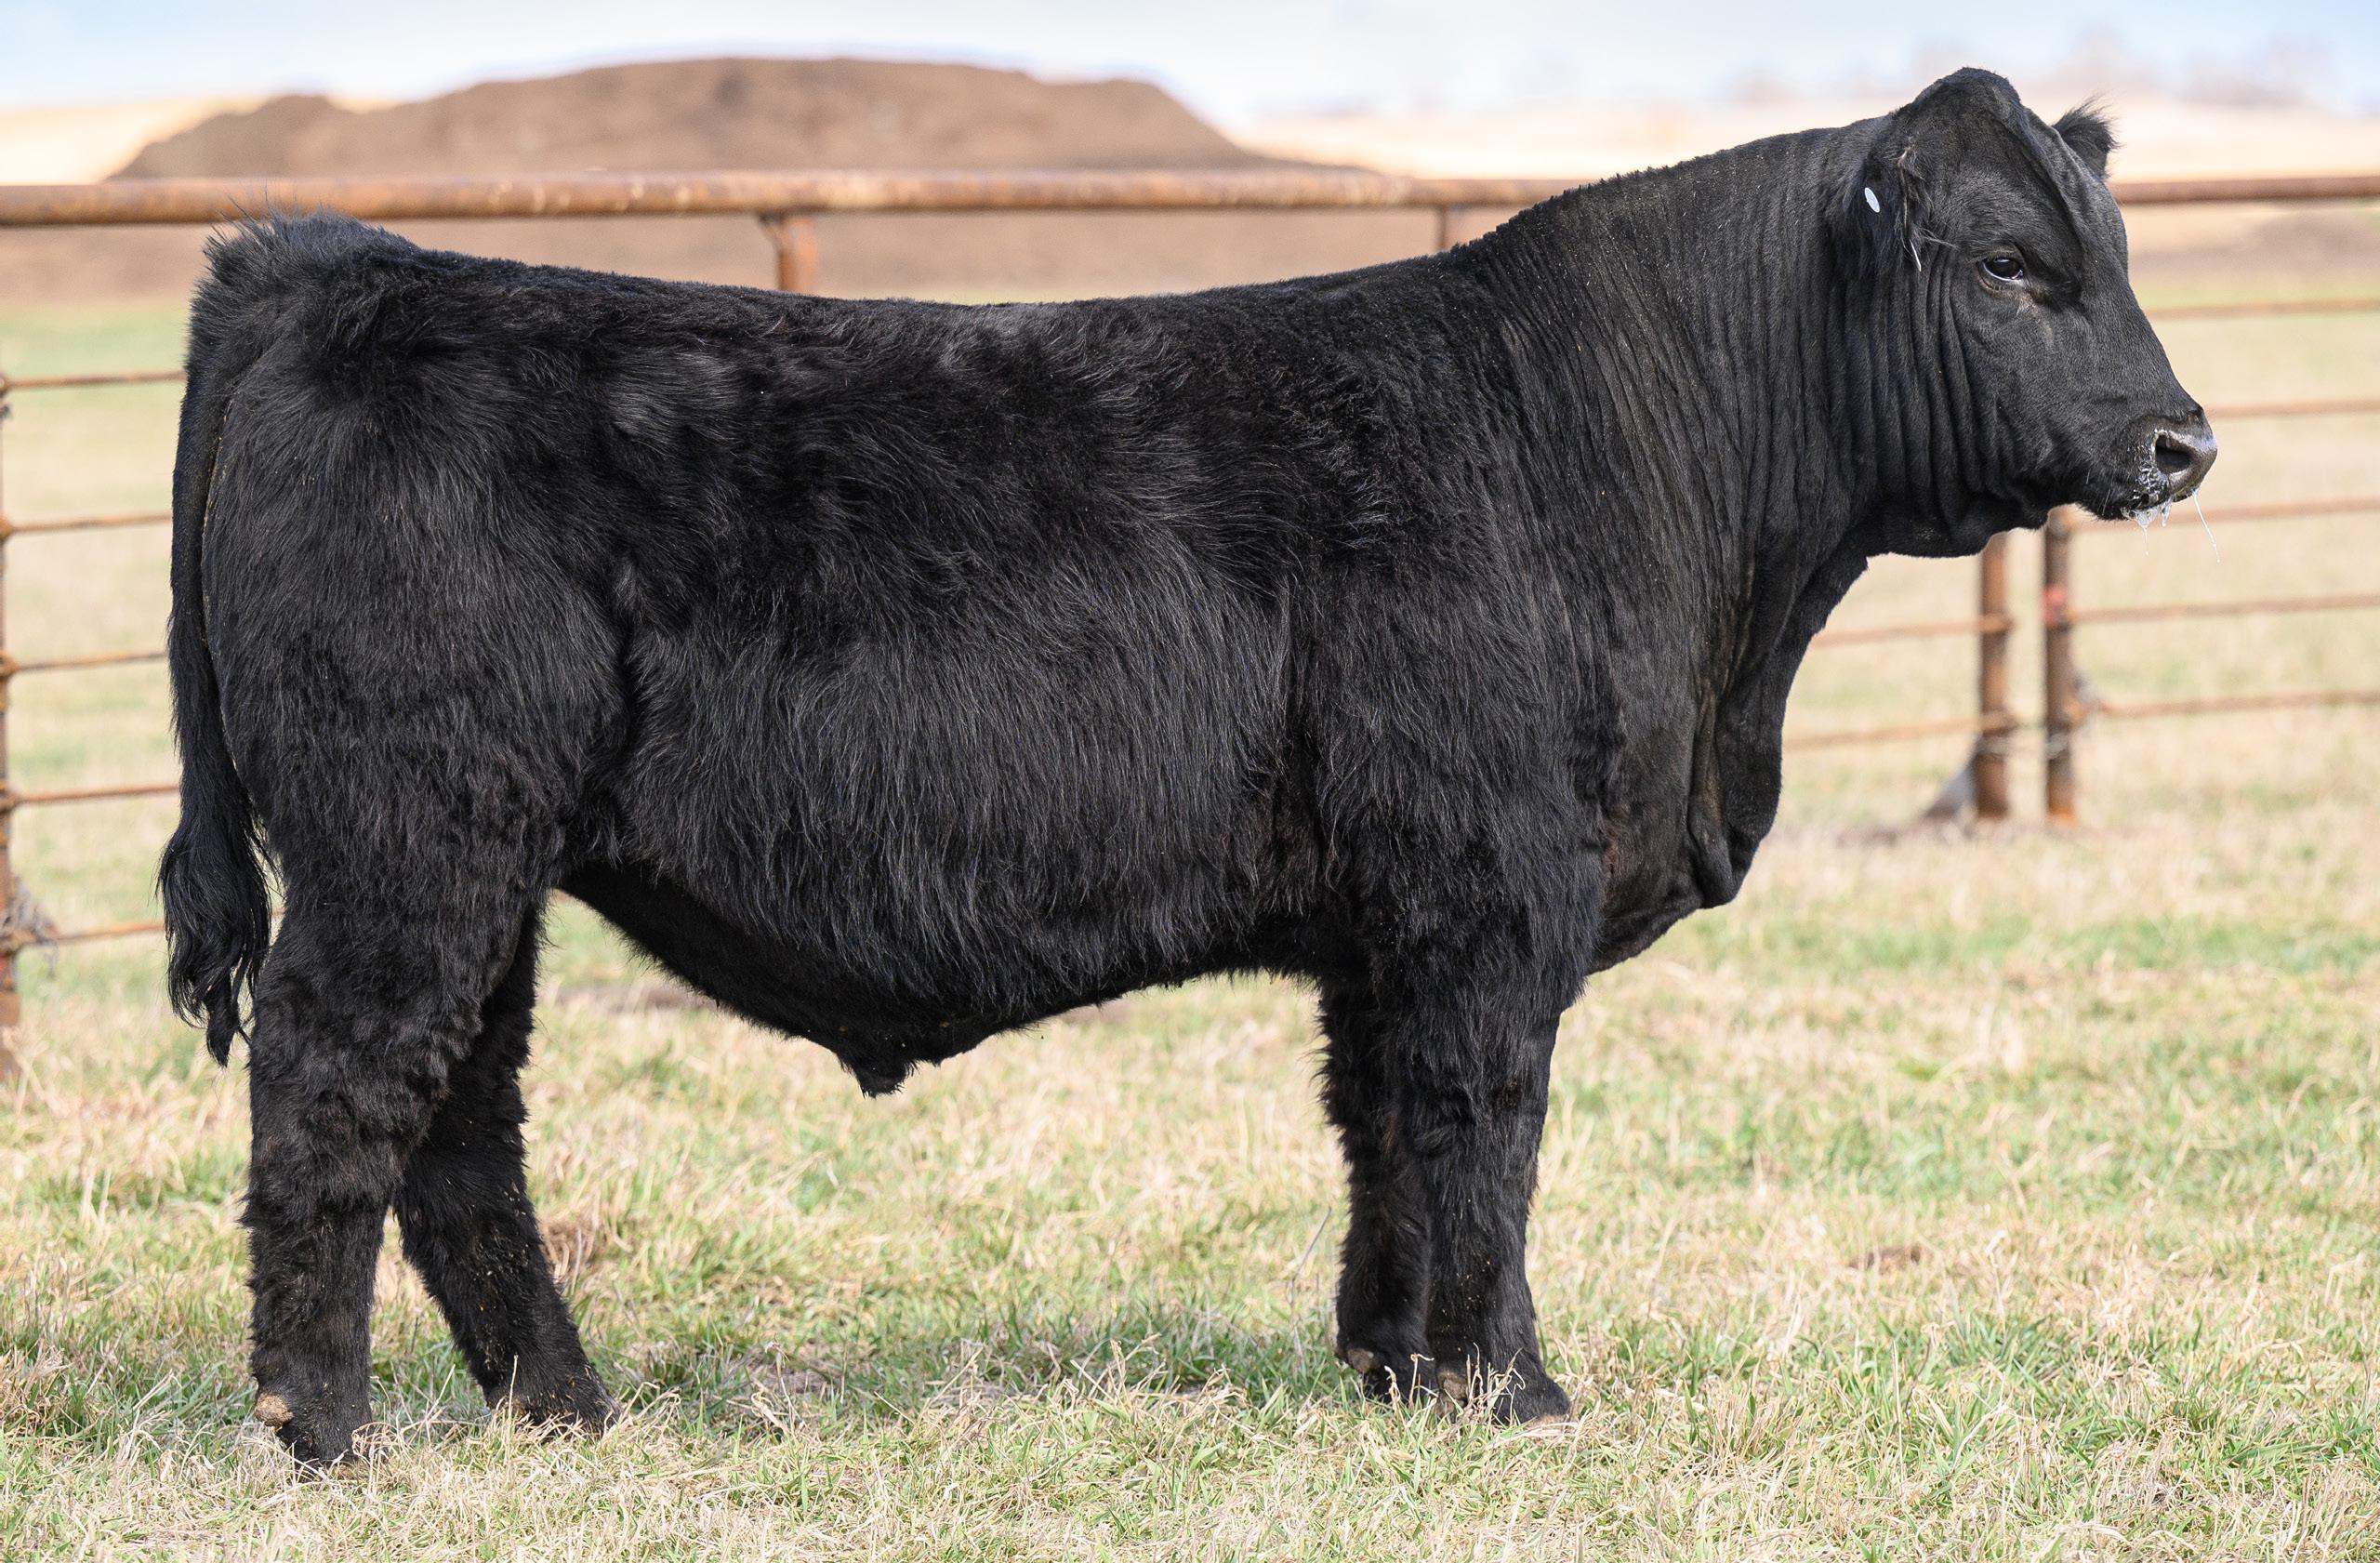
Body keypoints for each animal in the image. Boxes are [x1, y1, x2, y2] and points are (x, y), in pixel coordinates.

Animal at [160, 68, 2214, 1466]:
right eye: (2007, 267)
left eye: (2113, 255)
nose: (2180, 441)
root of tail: (333, 262)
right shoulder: (1492, 892)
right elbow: (1485, 1125)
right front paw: (1515, 1392)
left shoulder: (1389, 919)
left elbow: (1386, 1134)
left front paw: (1392, 1371)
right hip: (409, 842)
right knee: (340, 1089)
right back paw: (322, 1429)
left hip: (480, 863)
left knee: (461, 1127)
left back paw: (566, 1410)